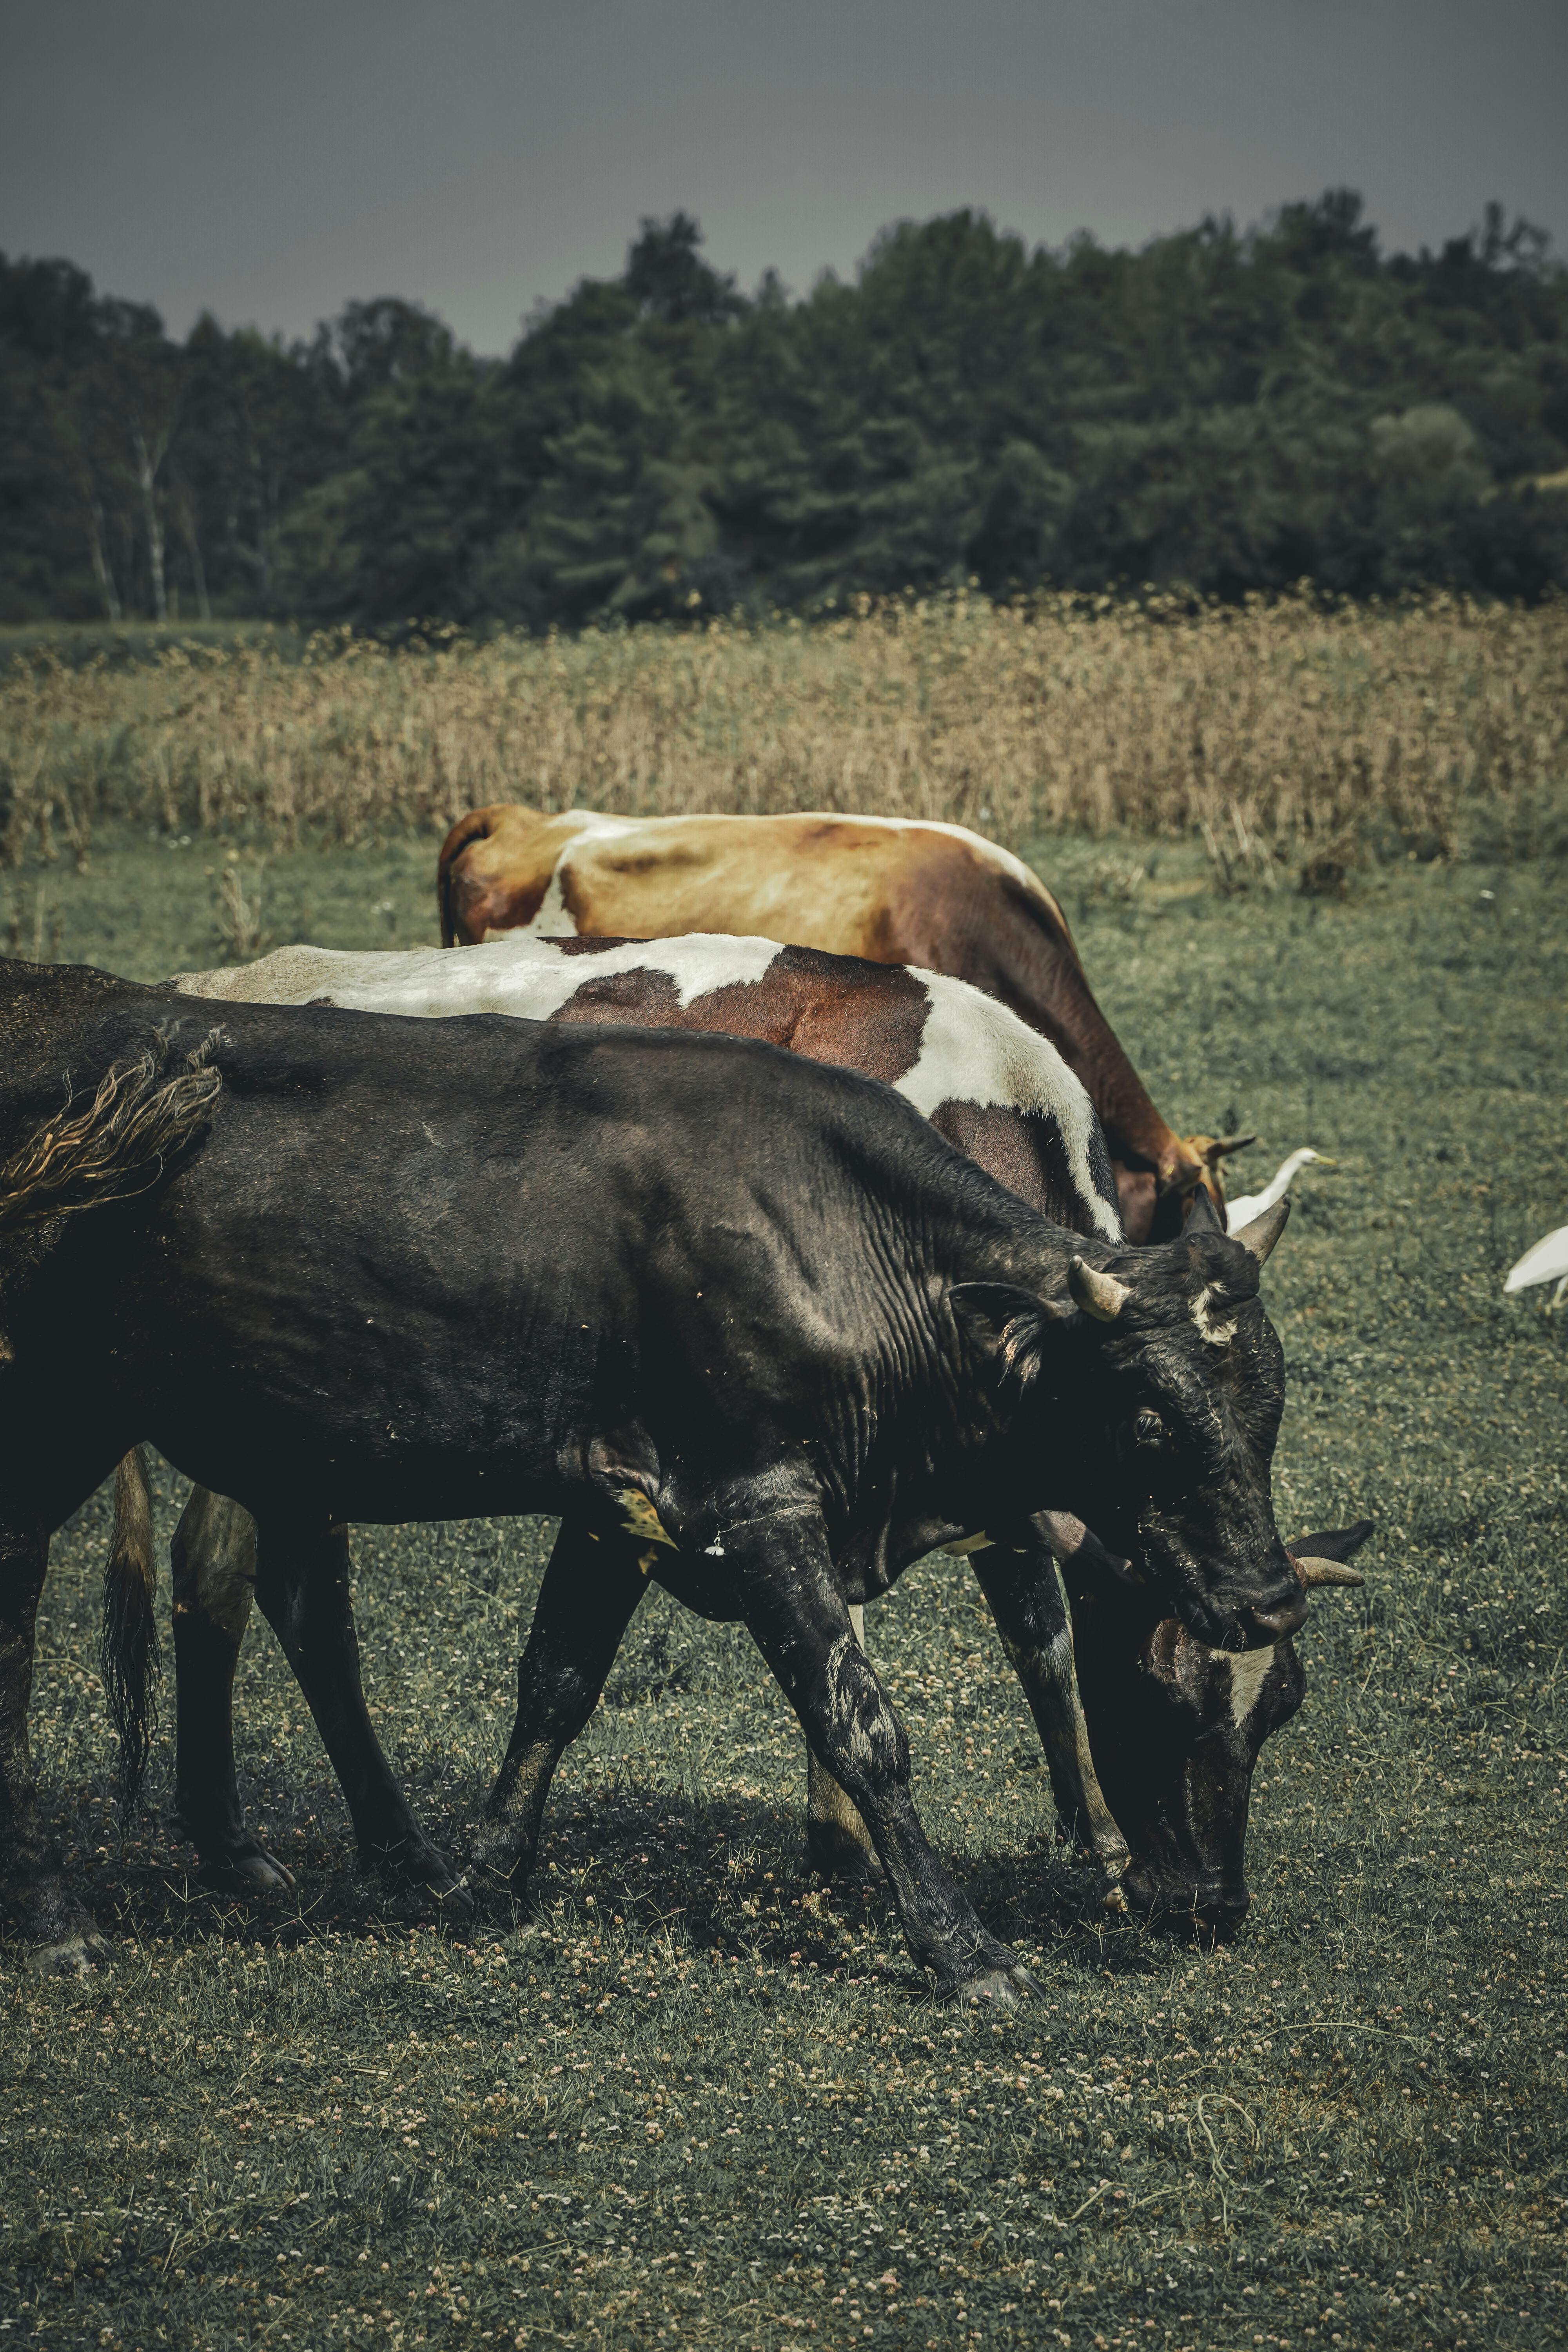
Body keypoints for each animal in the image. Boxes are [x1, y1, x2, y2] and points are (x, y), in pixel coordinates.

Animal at [0, 958, 1306, 1988]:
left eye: (1269, 1410)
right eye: (1150, 1417)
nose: (1265, 1597)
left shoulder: (622, 1505)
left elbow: (557, 1679)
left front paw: (484, 1877)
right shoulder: (760, 1504)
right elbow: (862, 1719)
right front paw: (959, 1943)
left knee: (283, 1599)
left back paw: (376, 1855)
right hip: (72, 1417)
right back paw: (65, 1909)